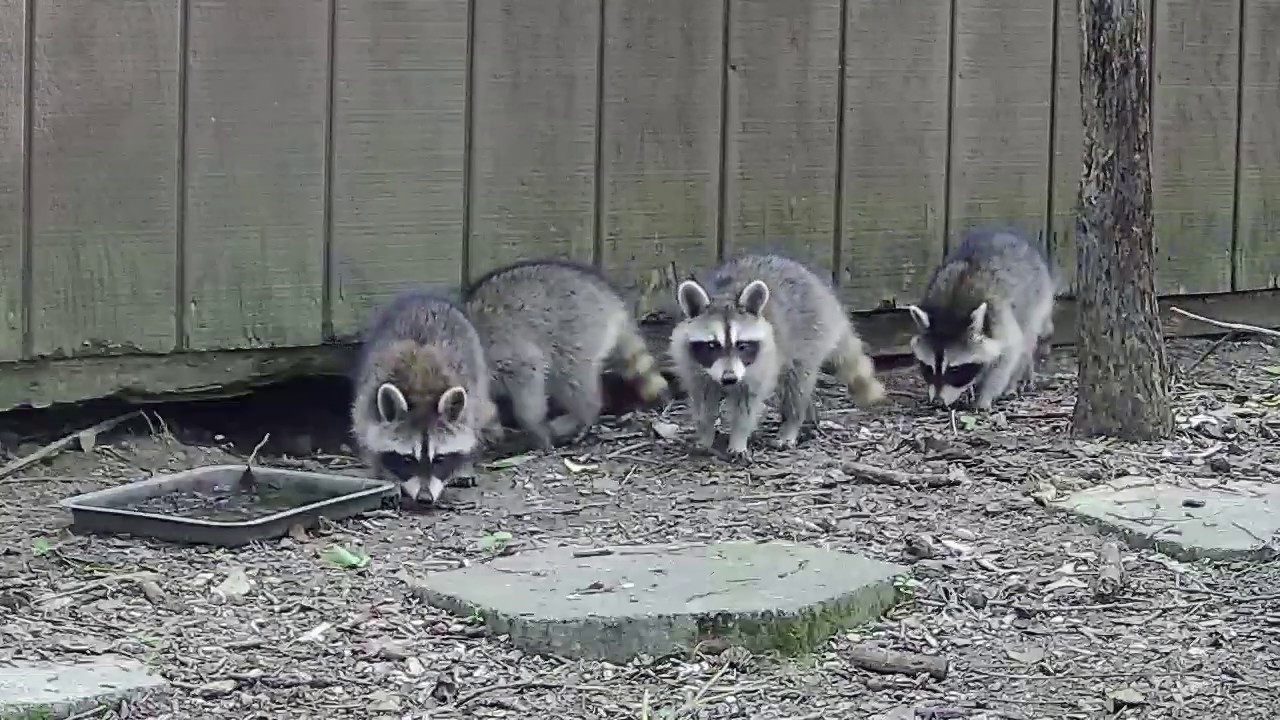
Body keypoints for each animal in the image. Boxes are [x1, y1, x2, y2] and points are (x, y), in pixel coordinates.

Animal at [350, 289, 498, 504]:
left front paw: (462, 465)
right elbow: (369, 439)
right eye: (407, 460)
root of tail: (424, 296)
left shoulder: (470, 395)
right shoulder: (366, 403)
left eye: (439, 460)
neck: (422, 390)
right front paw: (387, 478)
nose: (425, 497)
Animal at [463, 259, 670, 450]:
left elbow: (528, 385)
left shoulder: (506, 356)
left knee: (572, 381)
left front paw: (535, 428)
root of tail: (610, 298)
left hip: (575, 334)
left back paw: (582, 416)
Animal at [669, 254, 885, 460]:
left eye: (742, 345)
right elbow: (703, 403)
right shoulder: (692, 364)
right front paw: (705, 434)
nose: (729, 378)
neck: (724, 295)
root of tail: (824, 293)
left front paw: (739, 437)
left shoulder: (761, 363)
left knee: (796, 385)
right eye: (712, 345)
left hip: (810, 336)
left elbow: (747, 405)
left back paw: (792, 423)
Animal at [905, 226, 1058, 410]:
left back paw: (1018, 377)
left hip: (1036, 300)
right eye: (929, 368)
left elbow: (1008, 356)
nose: (937, 402)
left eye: (954, 370)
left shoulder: (1000, 318)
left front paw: (985, 396)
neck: (950, 311)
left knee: (1027, 340)